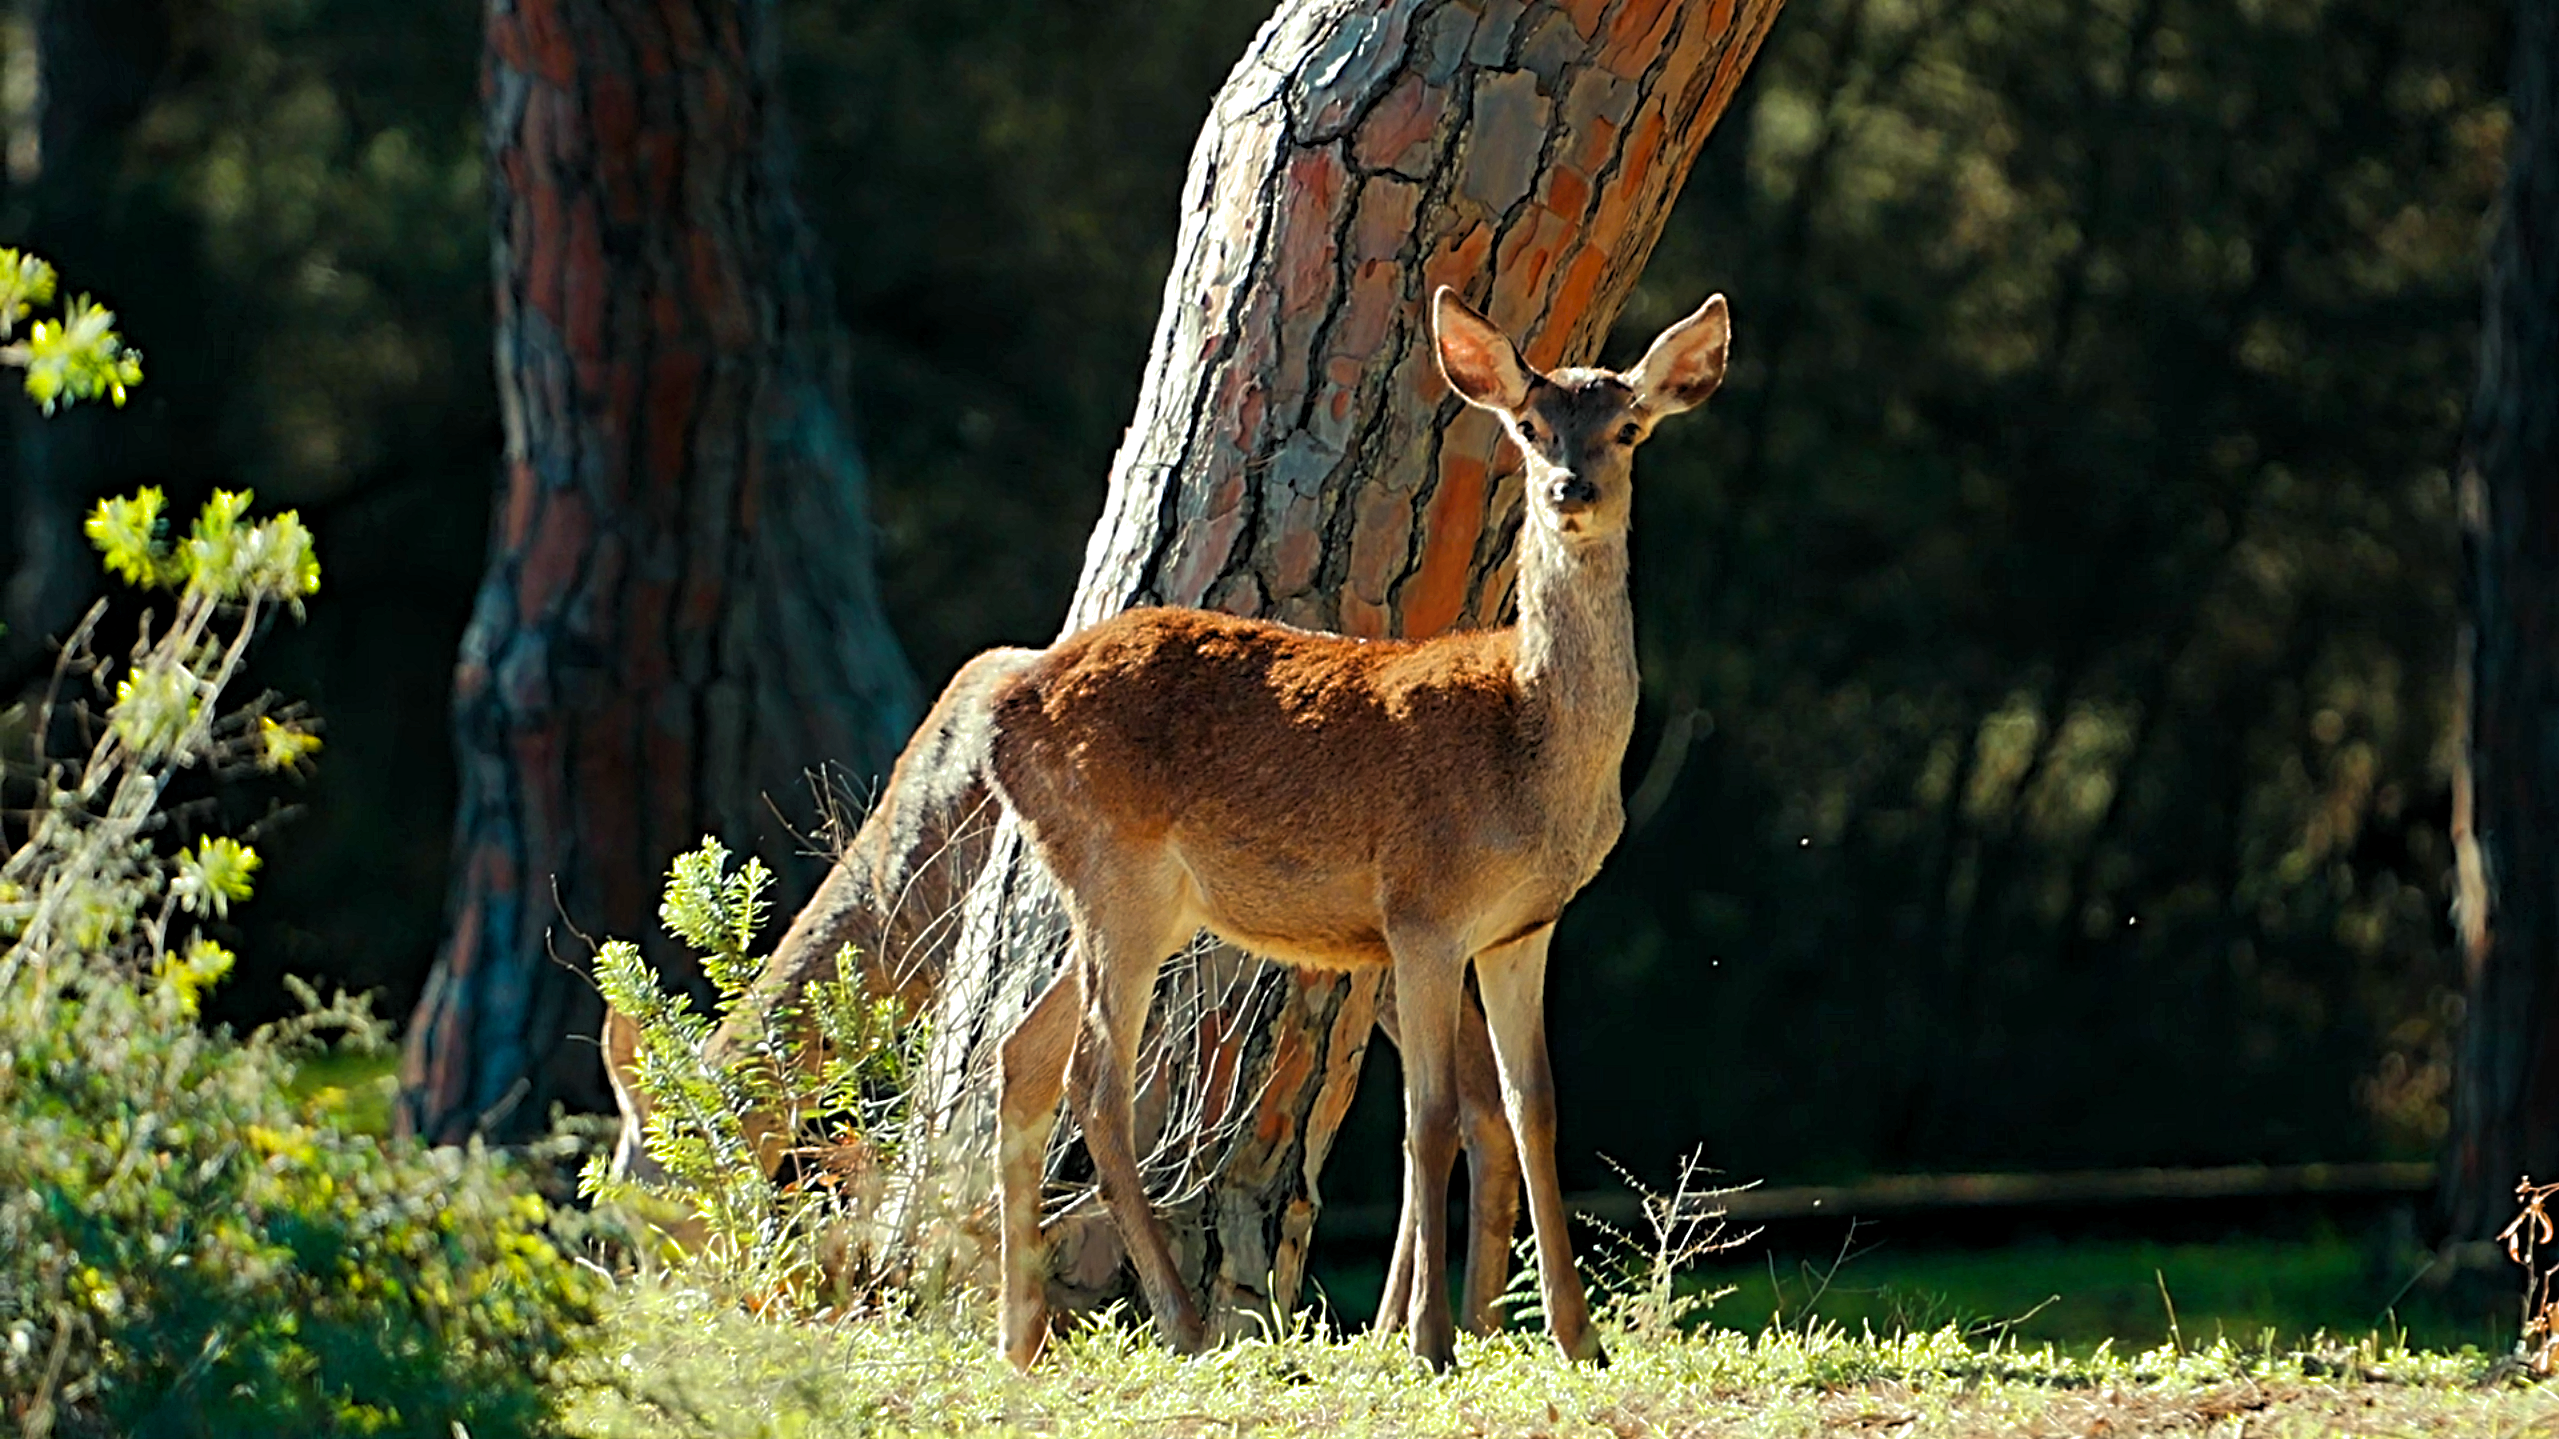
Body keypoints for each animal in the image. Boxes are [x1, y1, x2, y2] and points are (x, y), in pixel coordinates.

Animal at [984, 285, 1730, 1371]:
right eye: (1528, 424)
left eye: (1628, 427)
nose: (1570, 488)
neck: (1532, 755)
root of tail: (1002, 717)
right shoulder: (1422, 910)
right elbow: (1429, 1116)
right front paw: (1430, 1340)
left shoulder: (1522, 927)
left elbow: (1533, 1106)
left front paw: (1577, 1337)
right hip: (1118, 871)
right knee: (1095, 1079)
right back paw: (1182, 1320)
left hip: (1139, 898)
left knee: (1021, 1058)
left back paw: (1021, 1335)